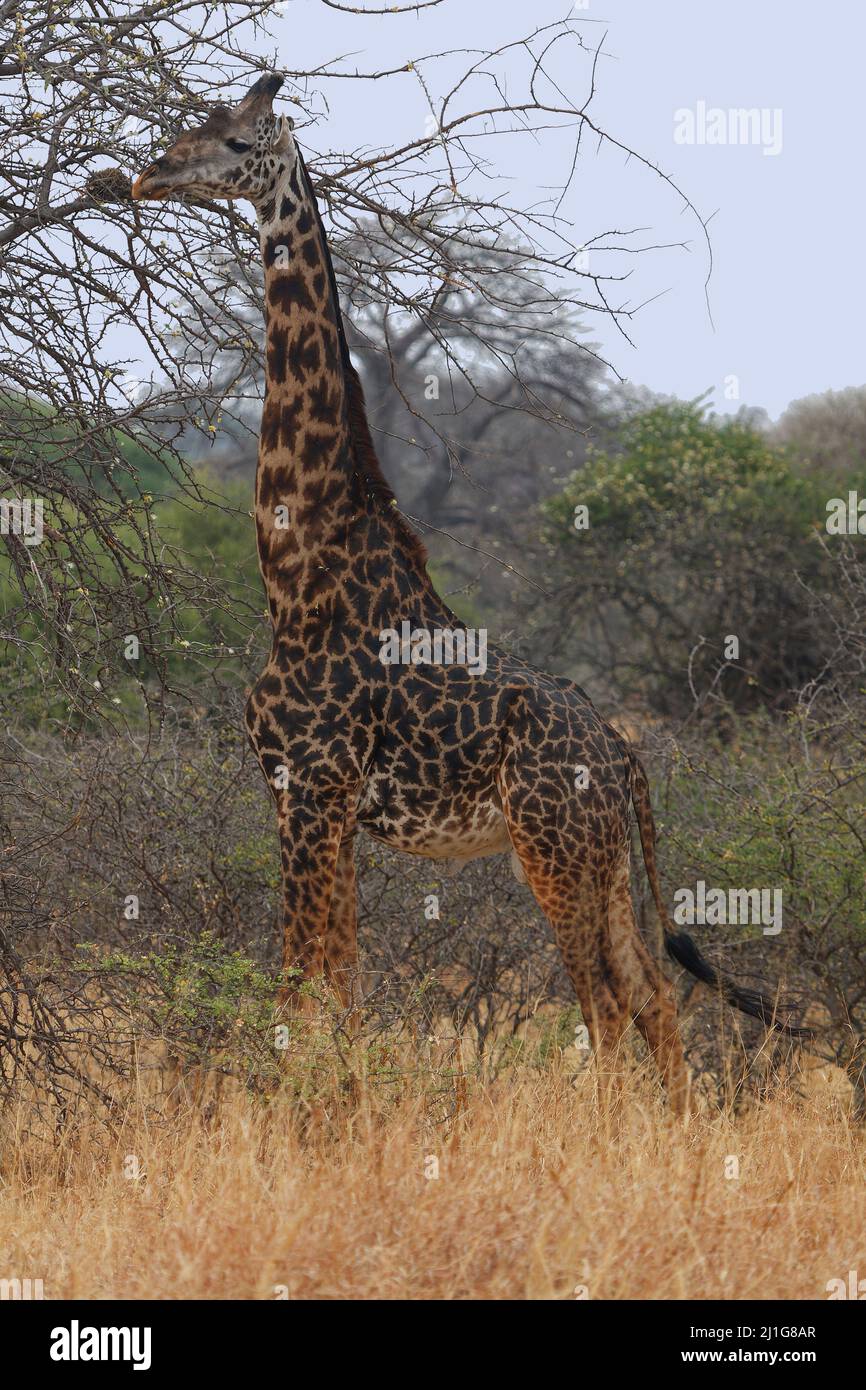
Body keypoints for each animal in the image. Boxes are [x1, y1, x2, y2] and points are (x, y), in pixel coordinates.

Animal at [132, 74, 806, 1113]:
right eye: (193, 121)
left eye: (238, 139)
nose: (145, 173)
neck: (297, 571)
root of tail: (622, 757)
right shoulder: (329, 809)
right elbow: (346, 985)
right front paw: (345, 1118)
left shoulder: (307, 789)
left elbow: (298, 988)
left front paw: (297, 1123)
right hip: (604, 861)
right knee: (652, 993)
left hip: (553, 849)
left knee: (605, 1004)